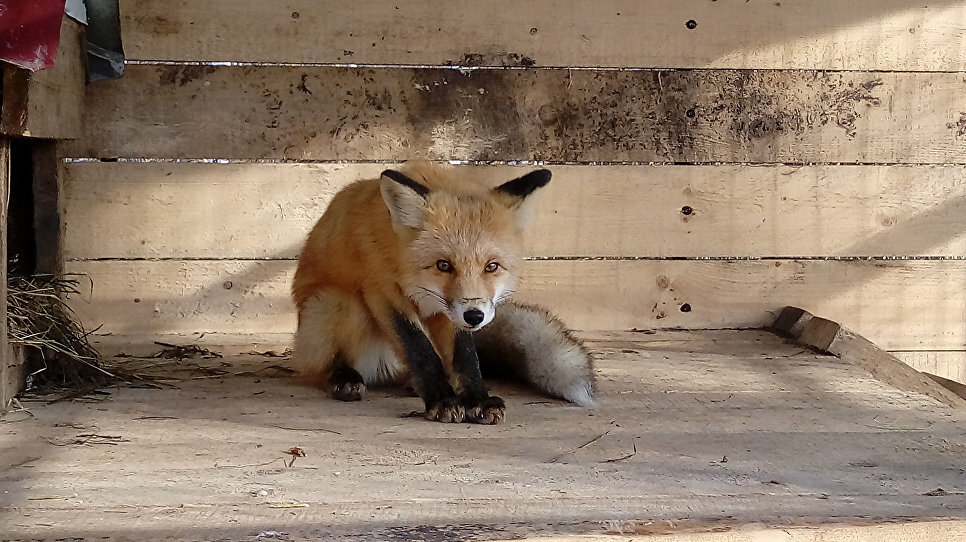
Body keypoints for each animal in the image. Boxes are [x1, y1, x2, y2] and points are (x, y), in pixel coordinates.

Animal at [292, 162, 592, 424]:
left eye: (491, 266)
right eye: (443, 265)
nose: (475, 316)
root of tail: (382, 368)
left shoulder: (451, 313)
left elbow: (466, 356)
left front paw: (477, 400)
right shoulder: (382, 289)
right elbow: (419, 348)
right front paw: (443, 400)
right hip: (335, 301)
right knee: (315, 365)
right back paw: (343, 377)